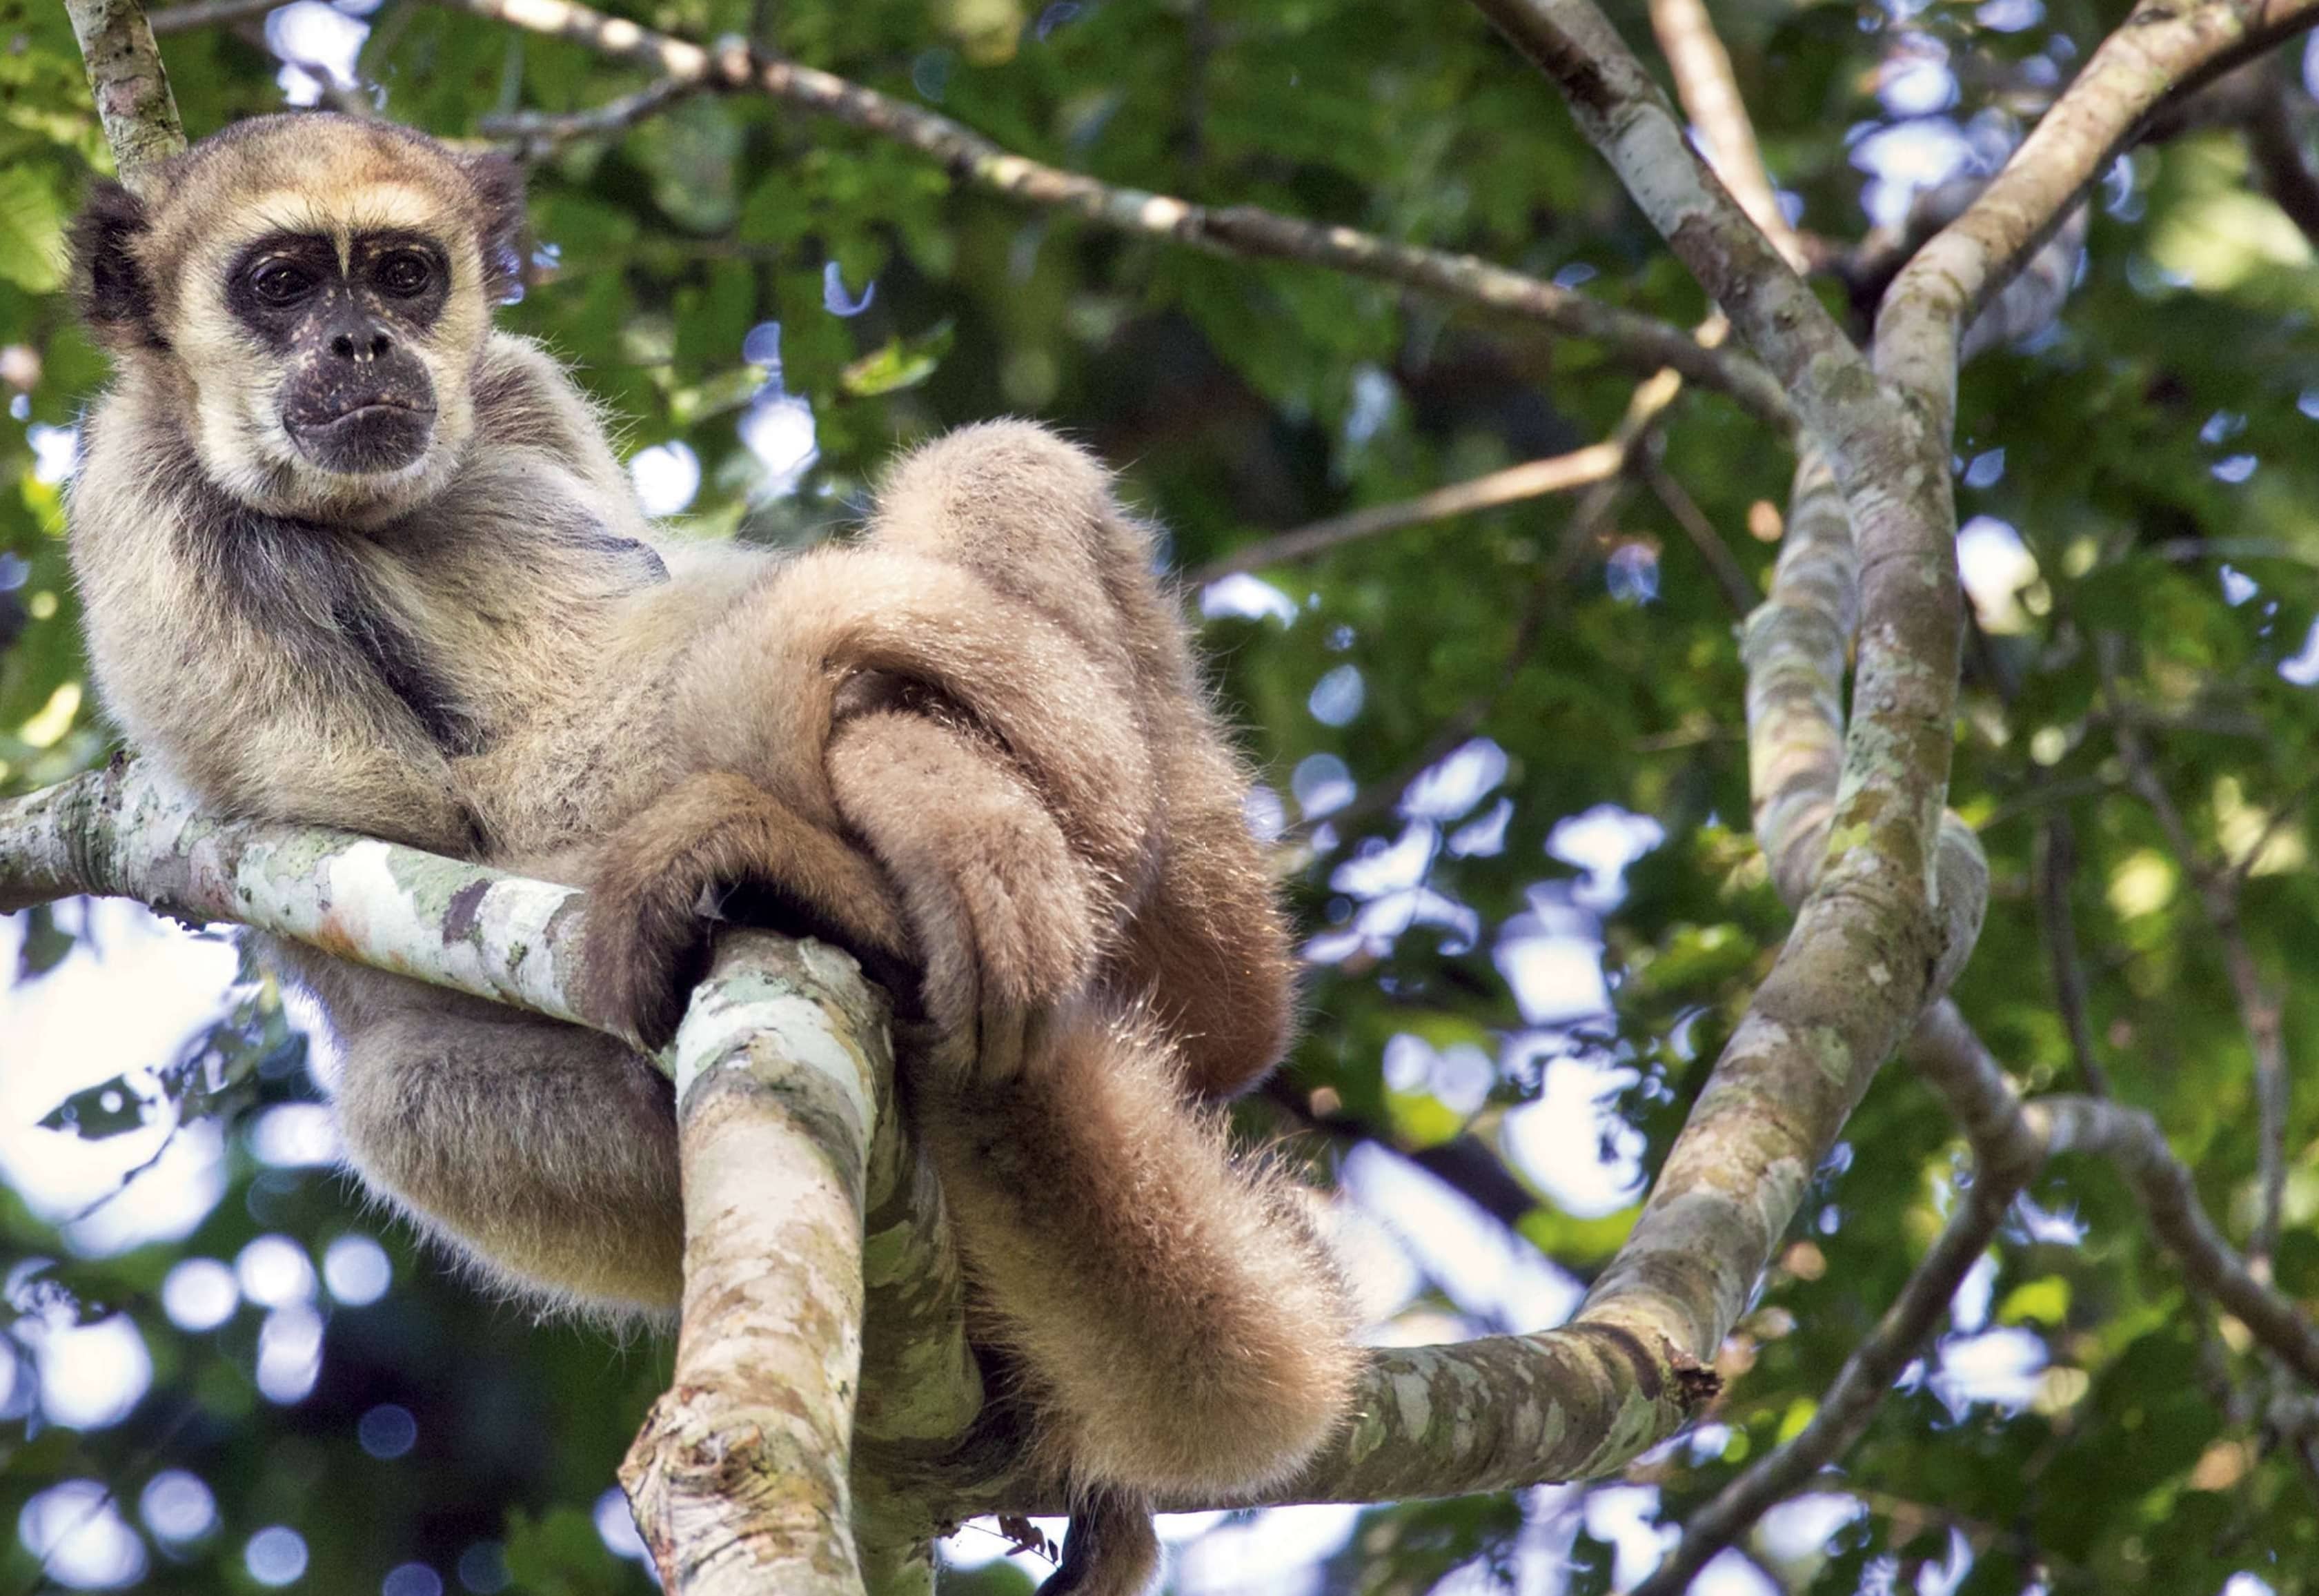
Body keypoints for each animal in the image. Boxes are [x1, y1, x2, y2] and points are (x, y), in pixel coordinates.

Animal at [63, 112, 1358, 1593]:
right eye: (278, 286)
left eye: (400, 274)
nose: (357, 342)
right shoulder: (145, 505)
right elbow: (433, 838)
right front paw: (860, 721)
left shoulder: (518, 385)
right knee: (408, 1086)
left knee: (1004, 473)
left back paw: (1200, 994)